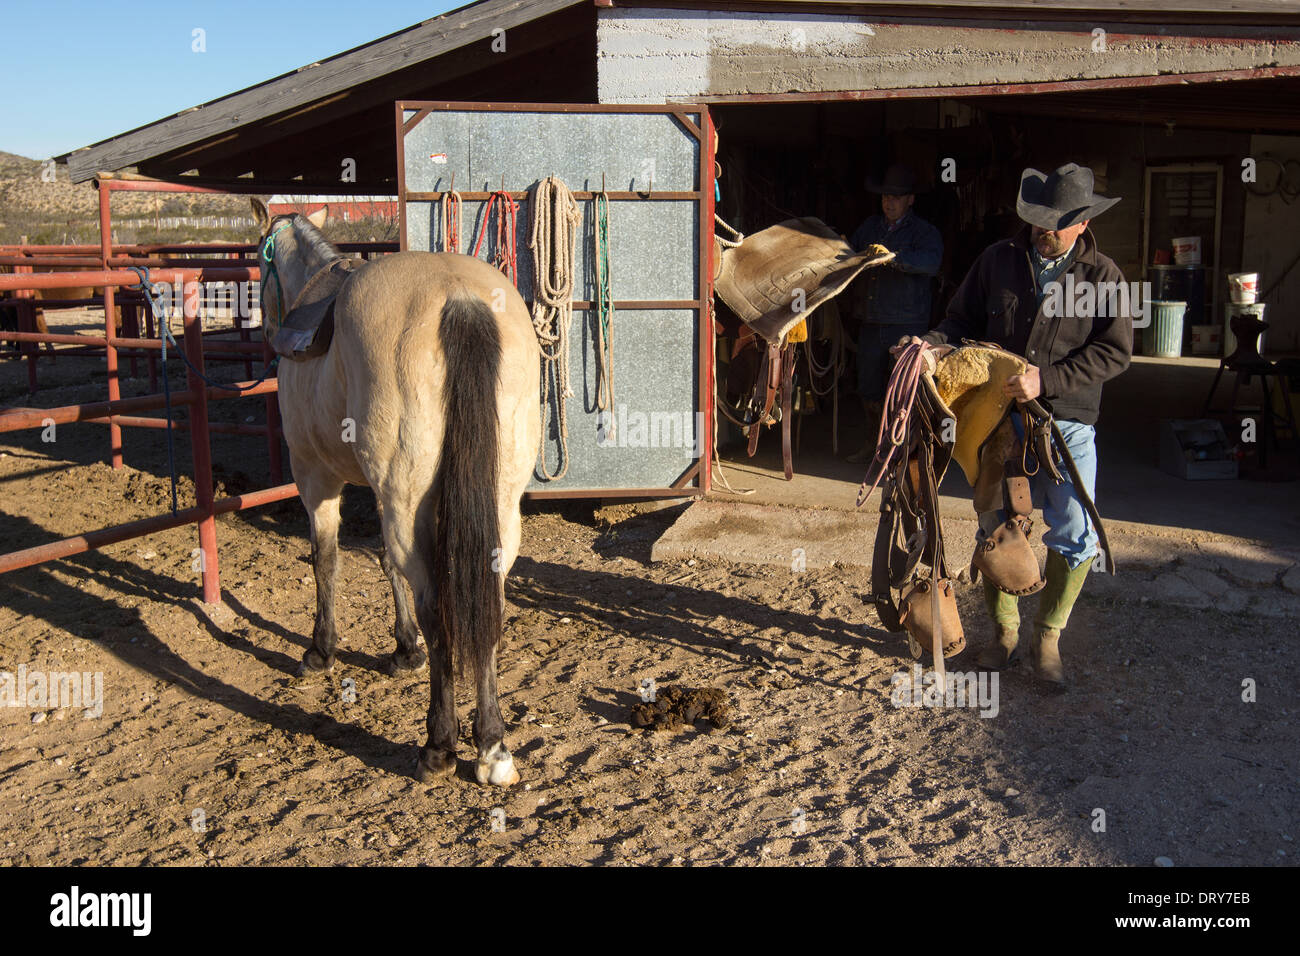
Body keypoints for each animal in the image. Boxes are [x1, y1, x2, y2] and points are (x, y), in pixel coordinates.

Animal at [250, 199, 541, 787]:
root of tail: (459, 298)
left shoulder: (314, 476)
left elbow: (327, 559)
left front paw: (320, 650)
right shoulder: (381, 495)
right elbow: (386, 563)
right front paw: (404, 649)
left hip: (403, 498)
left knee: (436, 607)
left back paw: (439, 745)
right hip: (495, 503)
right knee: (490, 599)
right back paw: (492, 745)